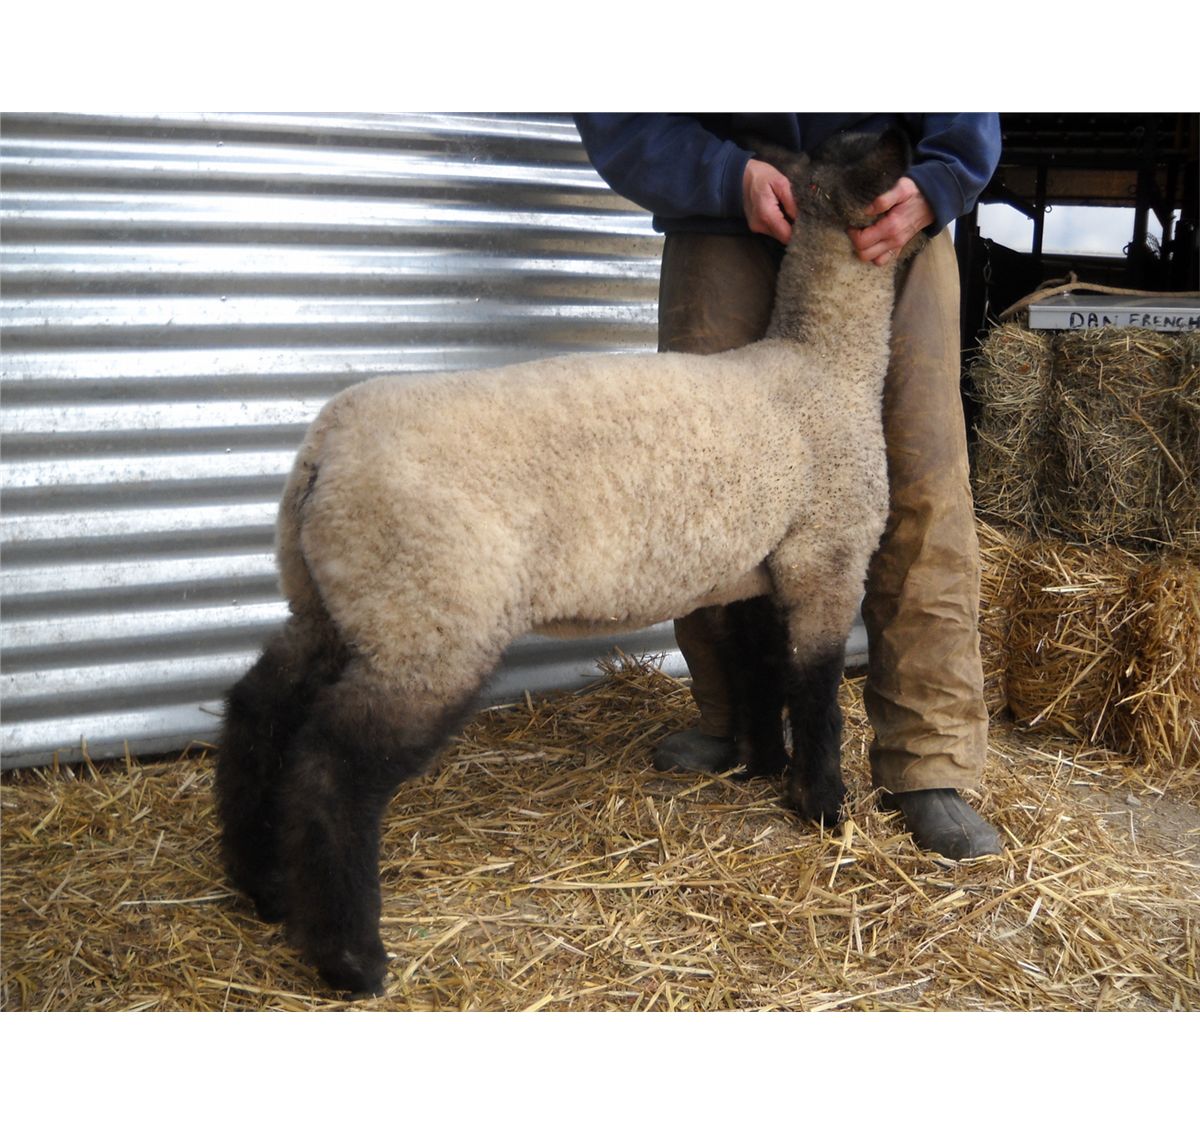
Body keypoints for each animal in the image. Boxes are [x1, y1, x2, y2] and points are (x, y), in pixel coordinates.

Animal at [215, 128, 922, 995]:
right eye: (868, 155)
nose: (917, 147)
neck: (823, 364)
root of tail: (321, 454)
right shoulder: (827, 554)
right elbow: (815, 687)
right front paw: (822, 803)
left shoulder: (749, 565)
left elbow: (757, 667)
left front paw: (761, 765)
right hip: (433, 618)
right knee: (330, 768)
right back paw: (352, 958)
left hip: (338, 600)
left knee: (256, 709)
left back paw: (261, 885)